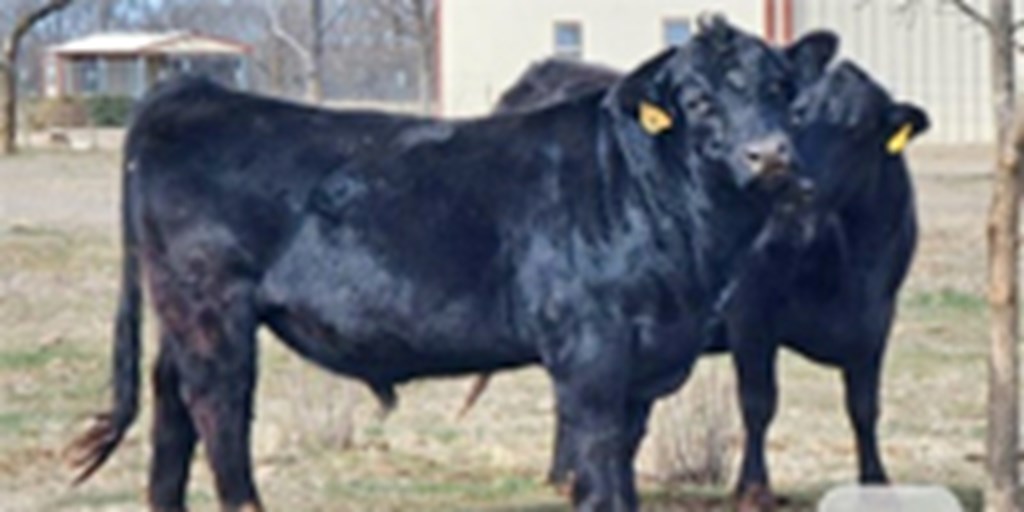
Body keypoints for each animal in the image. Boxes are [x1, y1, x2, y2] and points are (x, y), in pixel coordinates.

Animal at [67, 18, 835, 512]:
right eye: (699, 99)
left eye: (782, 90)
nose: (771, 154)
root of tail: (194, 93)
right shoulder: (591, 355)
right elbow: (600, 475)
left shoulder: (646, 364)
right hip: (212, 309)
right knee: (219, 410)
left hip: (183, 315)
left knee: (171, 403)